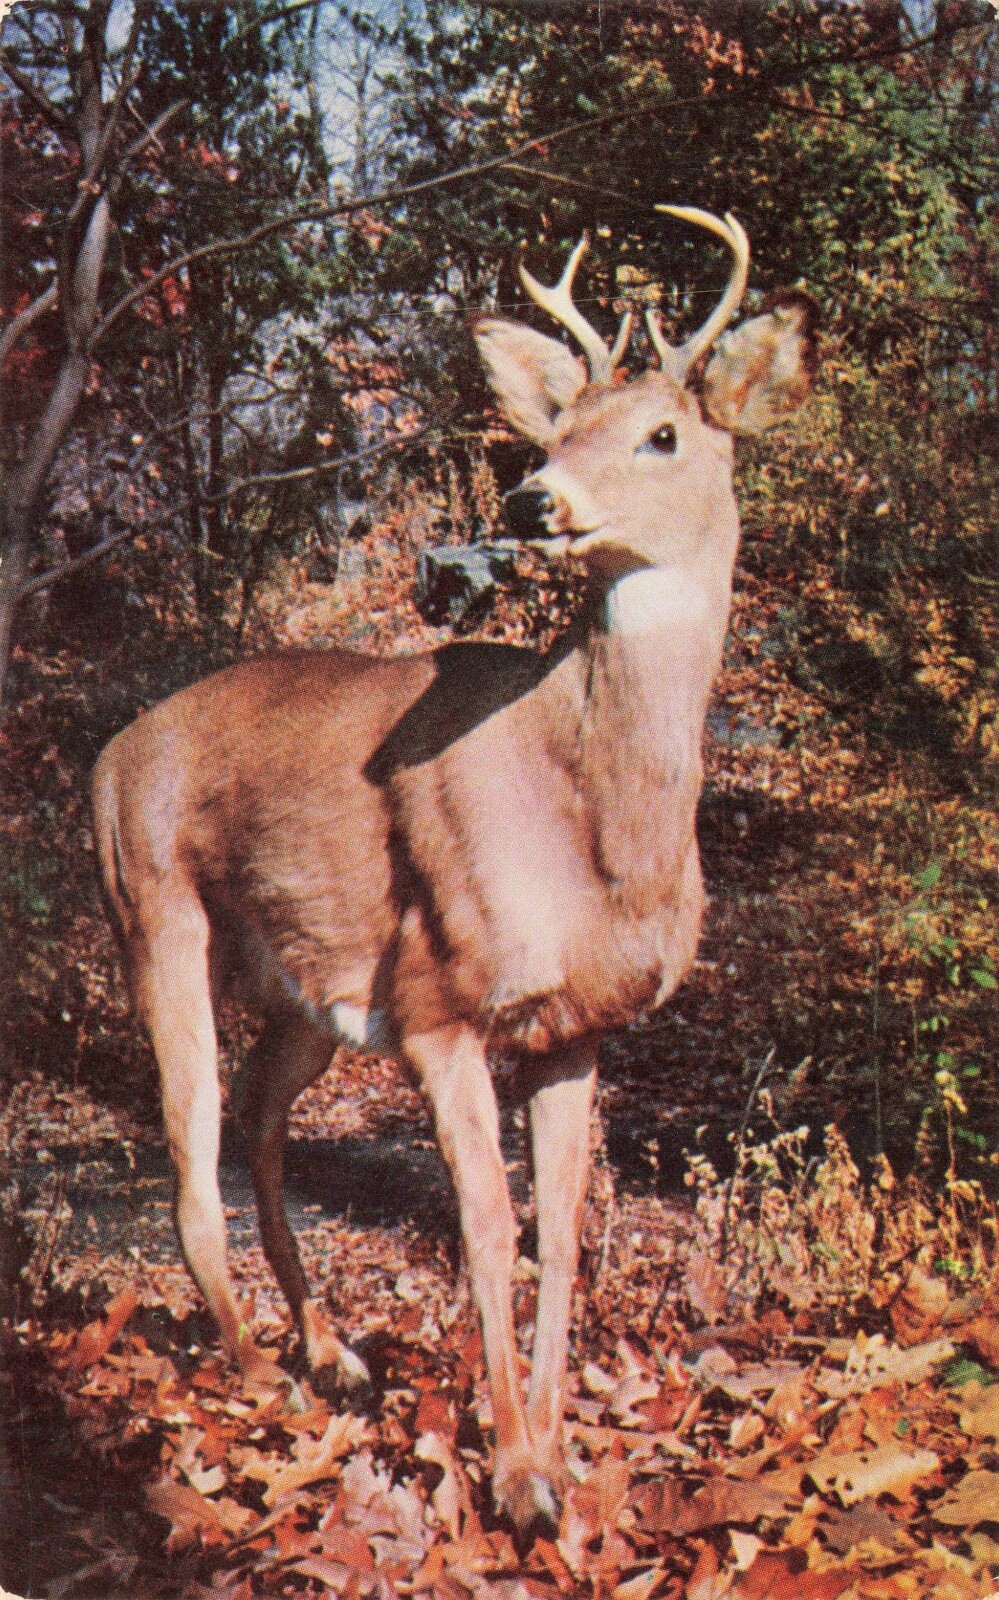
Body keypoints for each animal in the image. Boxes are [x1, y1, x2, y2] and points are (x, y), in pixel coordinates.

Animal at [92, 203, 818, 1542]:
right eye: (557, 424)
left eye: (664, 430)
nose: (535, 496)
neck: (591, 829)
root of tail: (109, 754)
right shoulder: (440, 1005)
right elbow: (484, 1222)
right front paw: (520, 1477)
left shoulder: (578, 1027)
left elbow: (564, 1227)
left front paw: (564, 1453)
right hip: (152, 909)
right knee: (188, 1148)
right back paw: (262, 1365)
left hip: (310, 991)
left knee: (258, 1123)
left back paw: (333, 1351)